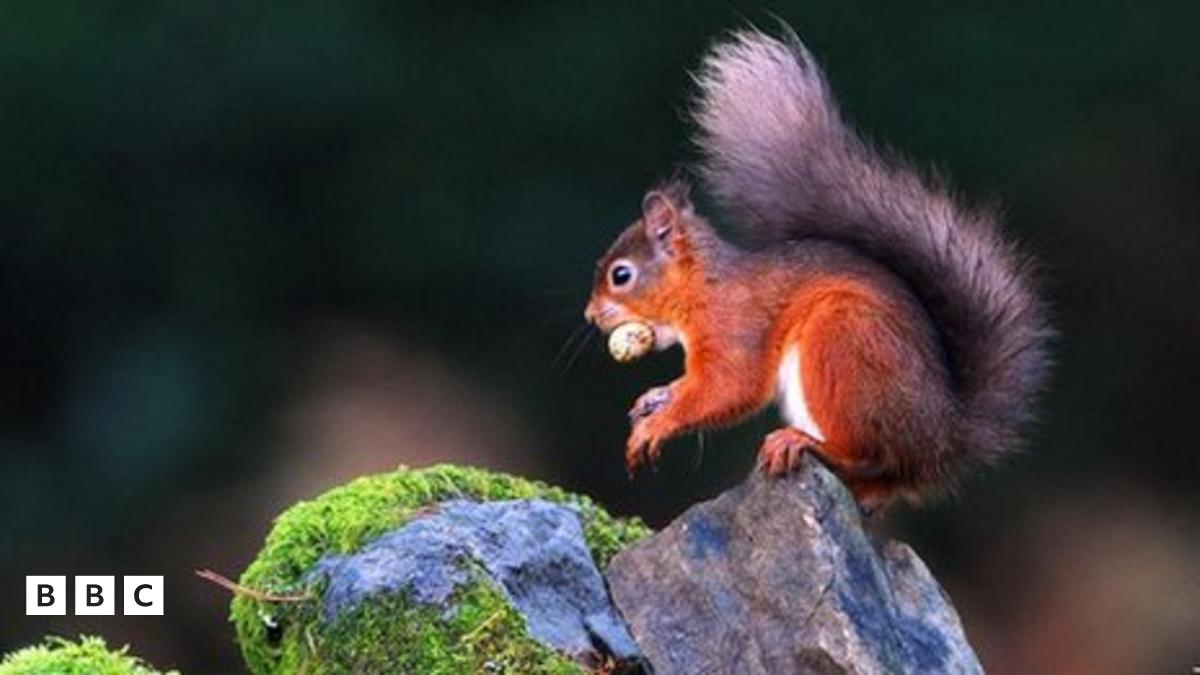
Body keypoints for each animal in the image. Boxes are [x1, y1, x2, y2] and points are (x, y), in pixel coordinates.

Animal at [583, 29, 1051, 508]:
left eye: (621, 275)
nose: (591, 315)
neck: (703, 286)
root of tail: (940, 438)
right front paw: (656, 397)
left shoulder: (734, 327)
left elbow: (728, 388)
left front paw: (658, 423)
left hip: (843, 342)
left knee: (867, 453)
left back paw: (804, 443)